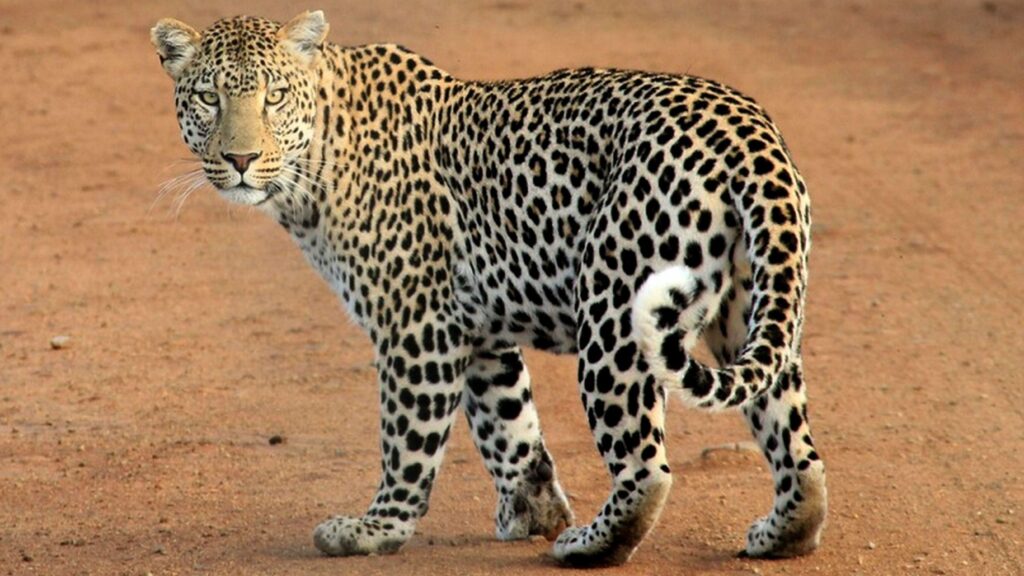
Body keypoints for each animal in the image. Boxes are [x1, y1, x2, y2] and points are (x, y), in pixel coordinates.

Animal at [151, 10, 827, 566]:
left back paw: (589, 545)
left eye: (274, 97)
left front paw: (376, 529)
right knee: (795, 444)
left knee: (646, 467)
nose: (240, 160)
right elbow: (510, 426)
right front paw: (533, 510)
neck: (316, 161)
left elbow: (408, 439)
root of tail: (748, 132)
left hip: (614, 312)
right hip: (751, 309)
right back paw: (781, 534)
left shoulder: (417, 325)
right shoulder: (476, 329)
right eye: (209, 98)